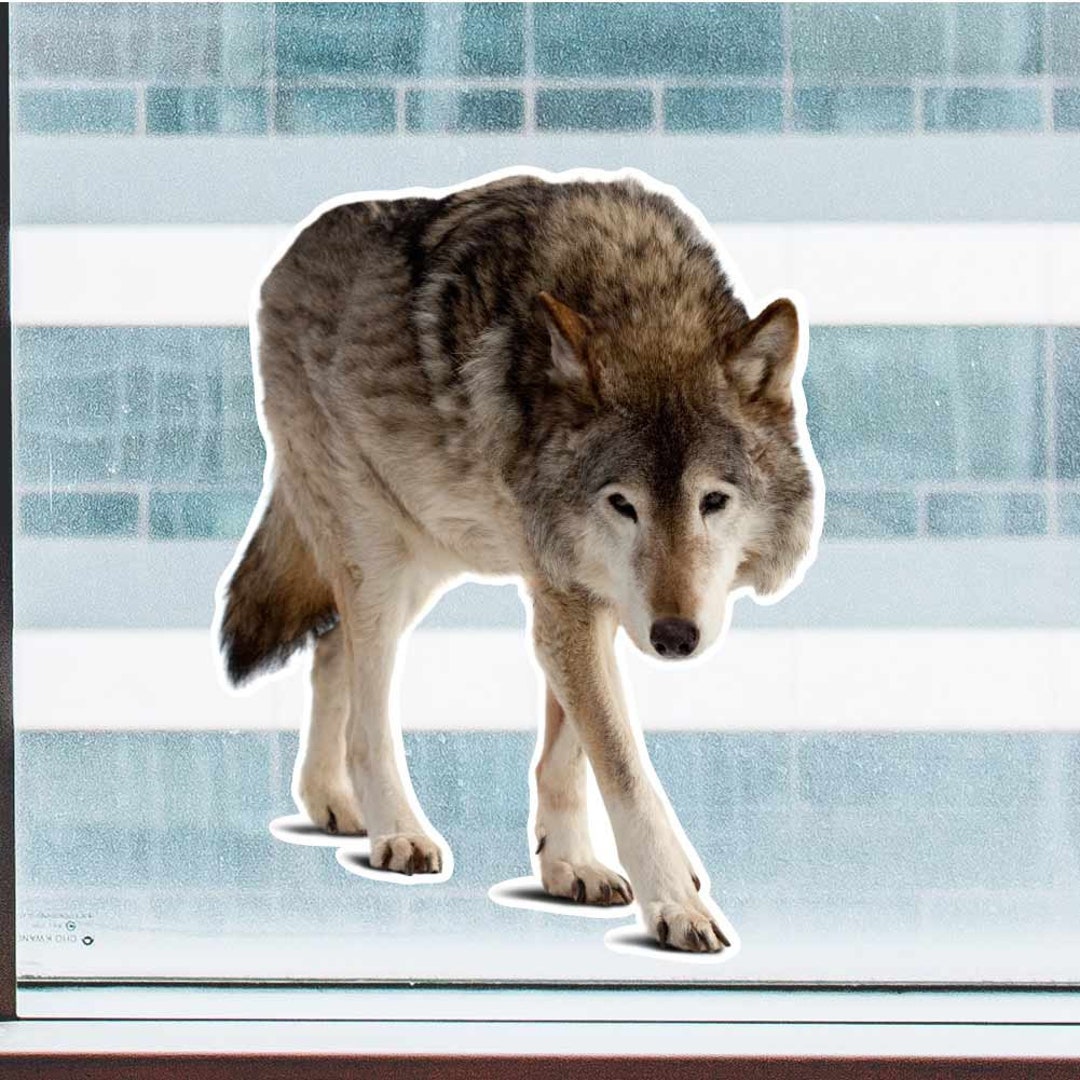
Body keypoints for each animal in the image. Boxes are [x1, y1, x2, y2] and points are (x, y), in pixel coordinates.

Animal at [218, 168, 819, 953]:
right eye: (623, 505)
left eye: (713, 501)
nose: (673, 638)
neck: (640, 297)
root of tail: (286, 256)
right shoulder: (568, 598)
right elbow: (622, 765)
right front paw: (677, 904)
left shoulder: (582, 598)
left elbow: (572, 752)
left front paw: (571, 866)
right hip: (377, 558)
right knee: (368, 710)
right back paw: (397, 832)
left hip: (424, 558)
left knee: (328, 651)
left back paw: (334, 804)